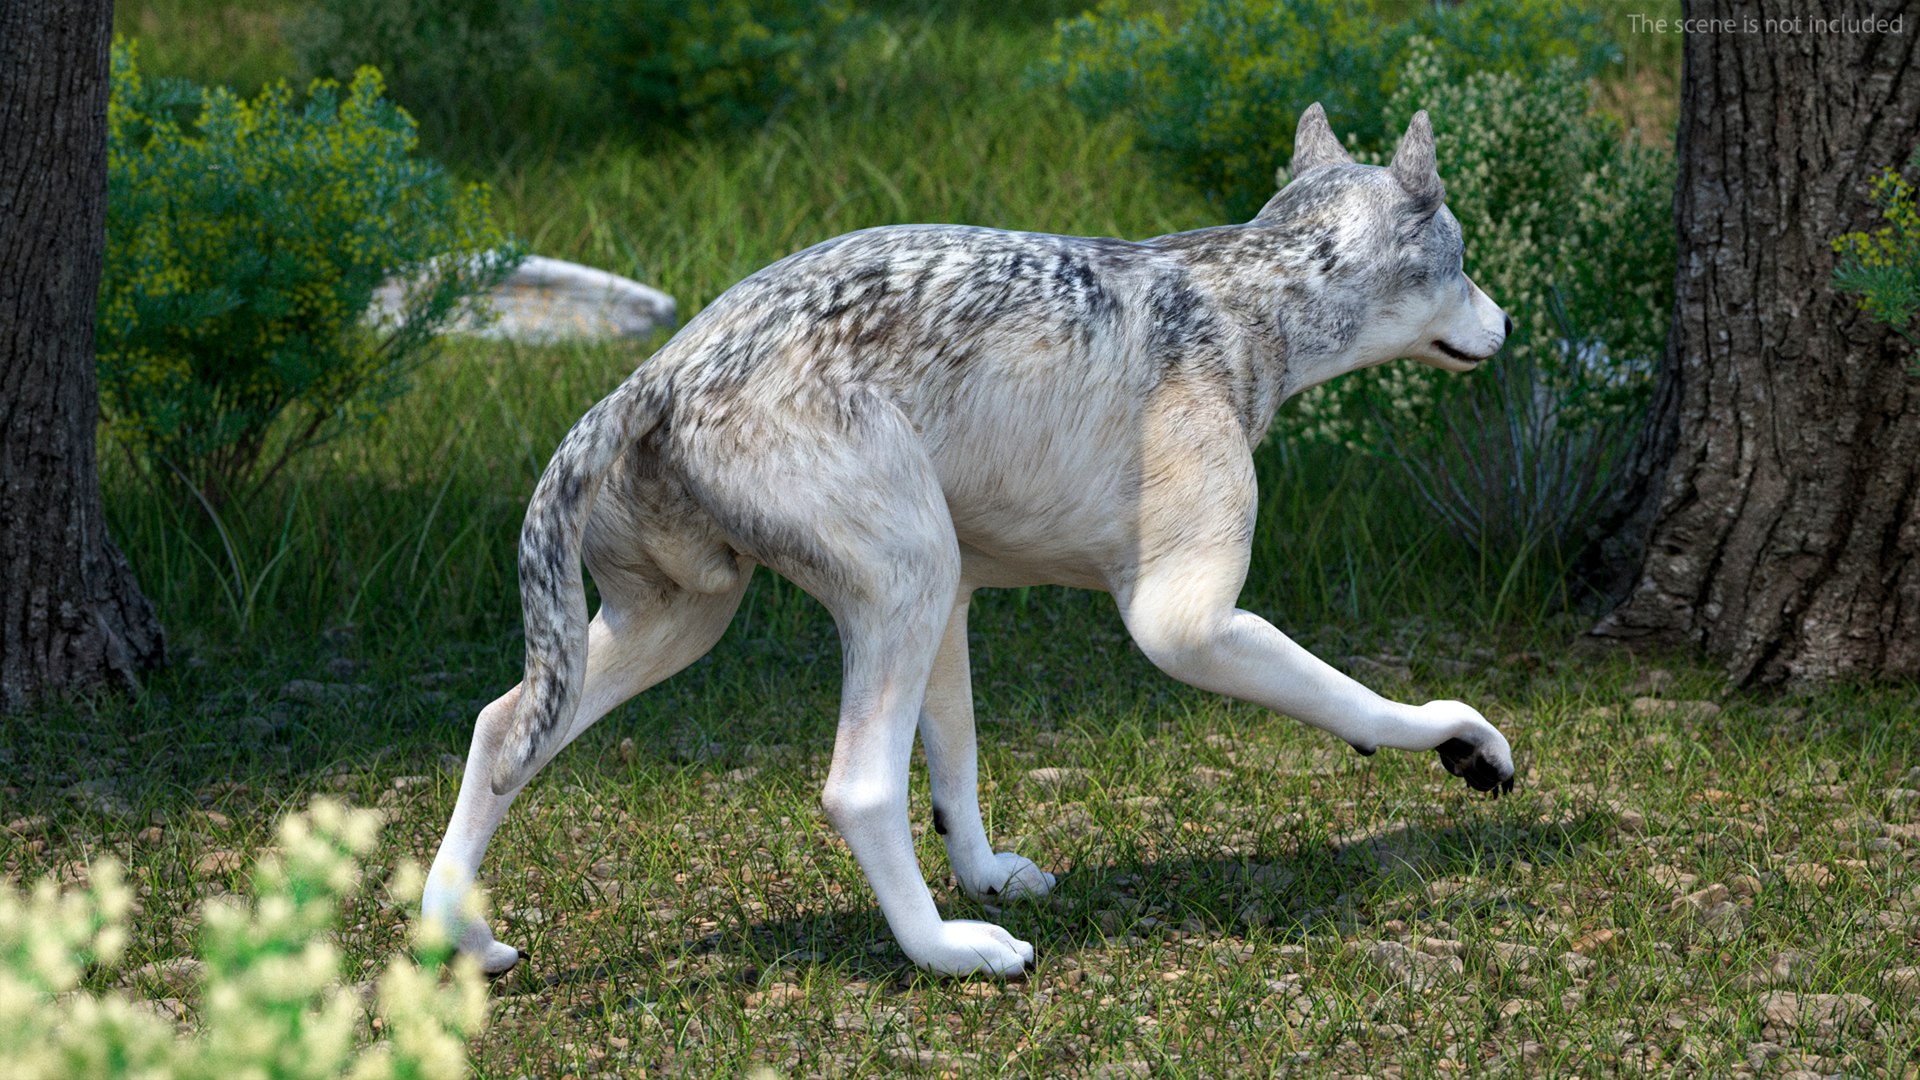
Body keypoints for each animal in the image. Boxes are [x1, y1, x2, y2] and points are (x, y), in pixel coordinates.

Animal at [422, 105, 1517, 979]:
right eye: (1463, 265)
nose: (1506, 325)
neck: (1252, 290)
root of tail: (654, 378)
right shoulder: (1185, 623)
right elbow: (1358, 699)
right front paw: (1459, 741)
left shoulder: (957, 606)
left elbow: (956, 770)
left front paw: (985, 873)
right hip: (888, 584)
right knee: (858, 792)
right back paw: (951, 954)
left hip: (704, 617)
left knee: (500, 726)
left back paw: (455, 936)